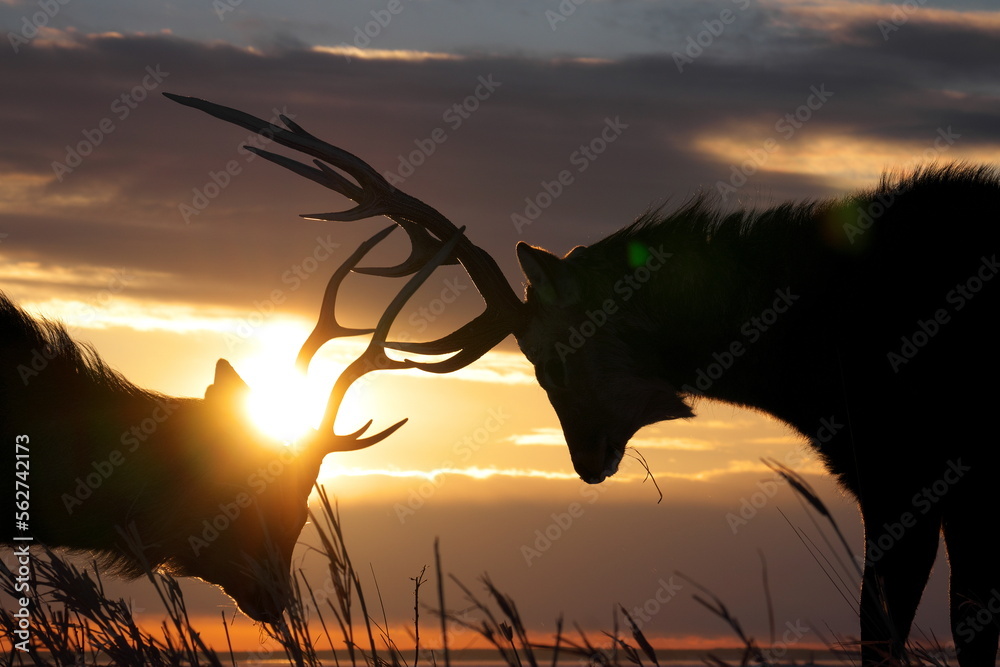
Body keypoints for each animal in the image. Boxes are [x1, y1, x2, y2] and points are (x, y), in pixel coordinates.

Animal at [159, 94, 997, 664]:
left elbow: (895, 632)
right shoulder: (934, 484)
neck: (815, 355)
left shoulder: (905, 470)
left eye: (550, 359)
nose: (587, 461)